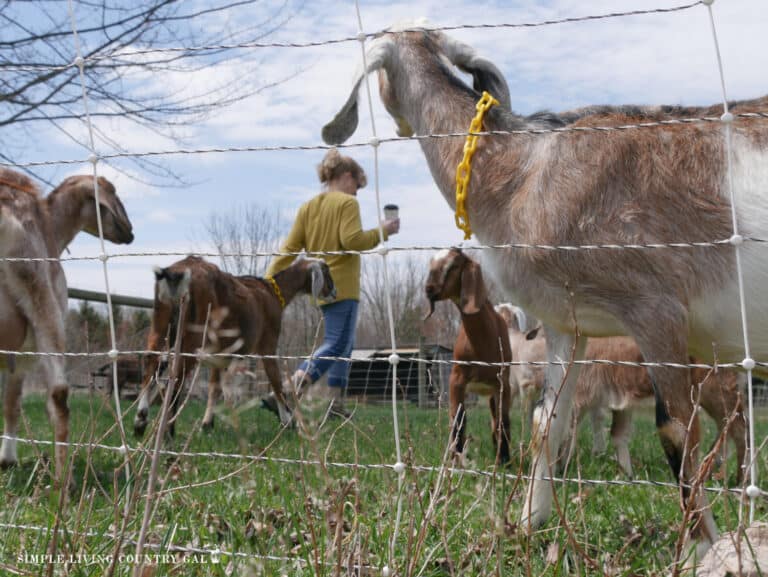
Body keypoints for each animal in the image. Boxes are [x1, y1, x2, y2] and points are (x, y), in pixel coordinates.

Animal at [0, 169, 134, 478]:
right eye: (113, 193)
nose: (130, 232)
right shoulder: (23, 352)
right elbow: (12, 403)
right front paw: (8, 460)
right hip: (43, 300)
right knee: (60, 394)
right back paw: (64, 482)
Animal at [132, 255, 336, 436]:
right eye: (327, 272)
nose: (334, 292)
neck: (272, 292)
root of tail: (177, 272)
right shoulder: (268, 343)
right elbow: (275, 379)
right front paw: (288, 422)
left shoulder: (218, 354)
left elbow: (214, 388)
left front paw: (207, 425)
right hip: (193, 334)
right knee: (176, 376)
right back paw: (167, 430)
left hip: (160, 322)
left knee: (151, 362)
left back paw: (140, 421)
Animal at [424, 248, 512, 465]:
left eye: (454, 265)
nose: (429, 289)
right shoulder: (457, 379)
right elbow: (458, 420)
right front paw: (456, 460)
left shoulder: (503, 383)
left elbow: (503, 420)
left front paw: (504, 460)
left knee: (495, 419)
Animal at [496, 304, 747, 482]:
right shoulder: (620, 400)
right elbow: (618, 435)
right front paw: (627, 475)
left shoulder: (580, 397)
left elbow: (569, 434)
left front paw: (561, 469)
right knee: (726, 428)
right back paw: (712, 469)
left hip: (717, 390)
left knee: (739, 430)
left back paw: (738, 478)